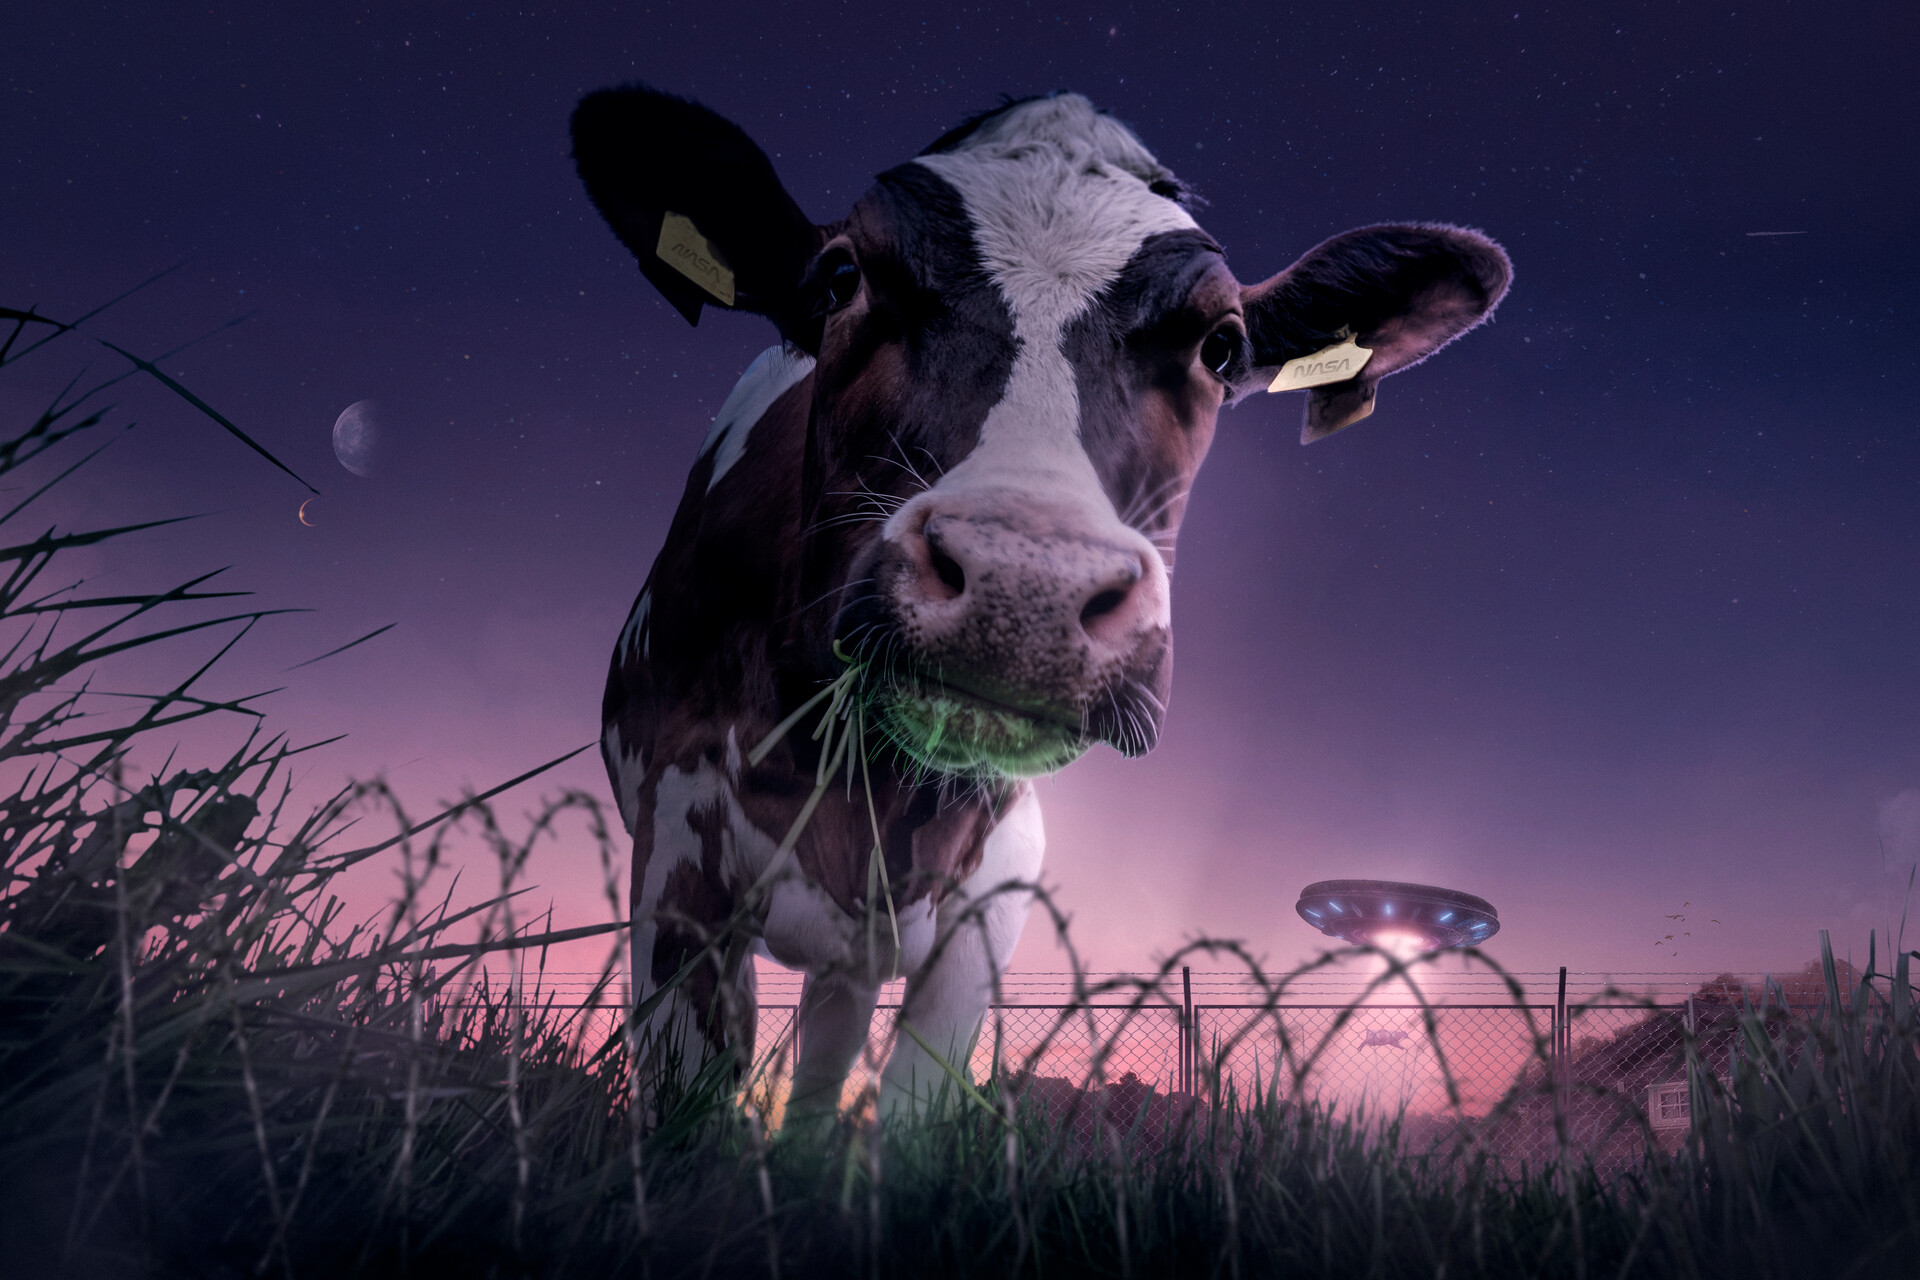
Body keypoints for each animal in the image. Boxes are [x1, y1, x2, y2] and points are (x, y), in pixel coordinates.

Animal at [571, 85, 1510, 1120]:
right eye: (843, 276)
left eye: (1223, 346)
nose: (1026, 587)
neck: (866, 778)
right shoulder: (677, 837)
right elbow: (689, 1099)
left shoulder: (994, 889)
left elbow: (914, 1104)